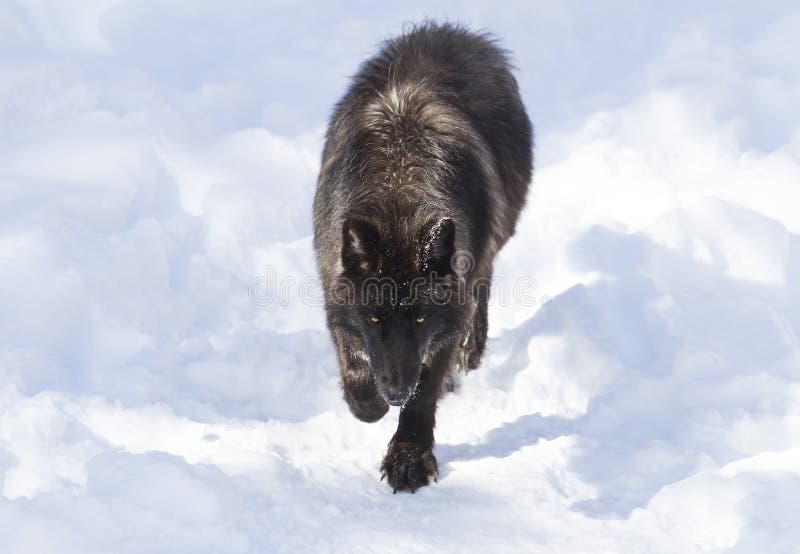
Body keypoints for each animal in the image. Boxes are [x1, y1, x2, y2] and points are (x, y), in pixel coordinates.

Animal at [313, 22, 533, 492]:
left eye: (418, 318)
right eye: (375, 317)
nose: (394, 392)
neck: (399, 192)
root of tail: (452, 30)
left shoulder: (446, 316)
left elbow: (425, 389)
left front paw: (409, 458)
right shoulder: (330, 279)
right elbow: (355, 369)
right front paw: (370, 404)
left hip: (487, 247)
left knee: (482, 291)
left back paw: (469, 358)